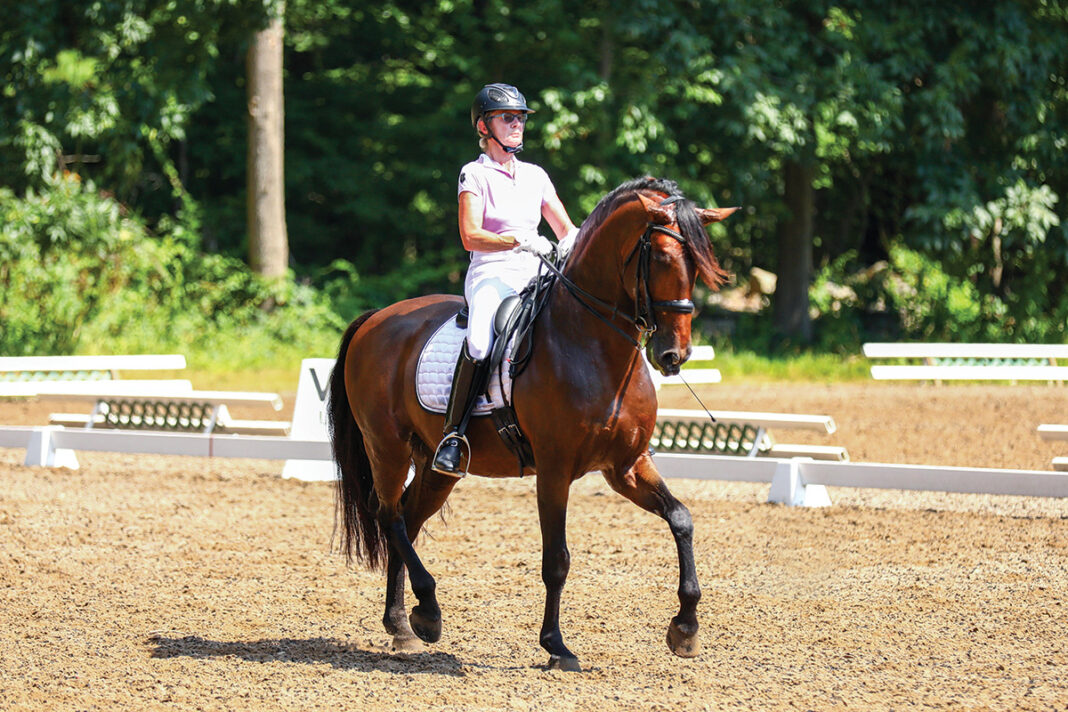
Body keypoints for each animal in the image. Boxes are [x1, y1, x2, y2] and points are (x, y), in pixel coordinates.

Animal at [327, 176, 737, 672]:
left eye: (699, 263)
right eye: (659, 257)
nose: (673, 356)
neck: (592, 344)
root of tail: (378, 317)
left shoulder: (626, 466)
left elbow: (681, 519)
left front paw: (686, 628)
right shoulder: (555, 470)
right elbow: (556, 559)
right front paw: (556, 645)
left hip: (436, 465)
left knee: (408, 516)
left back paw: (403, 625)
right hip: (386, 444)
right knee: (389, 515)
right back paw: (428, 612)